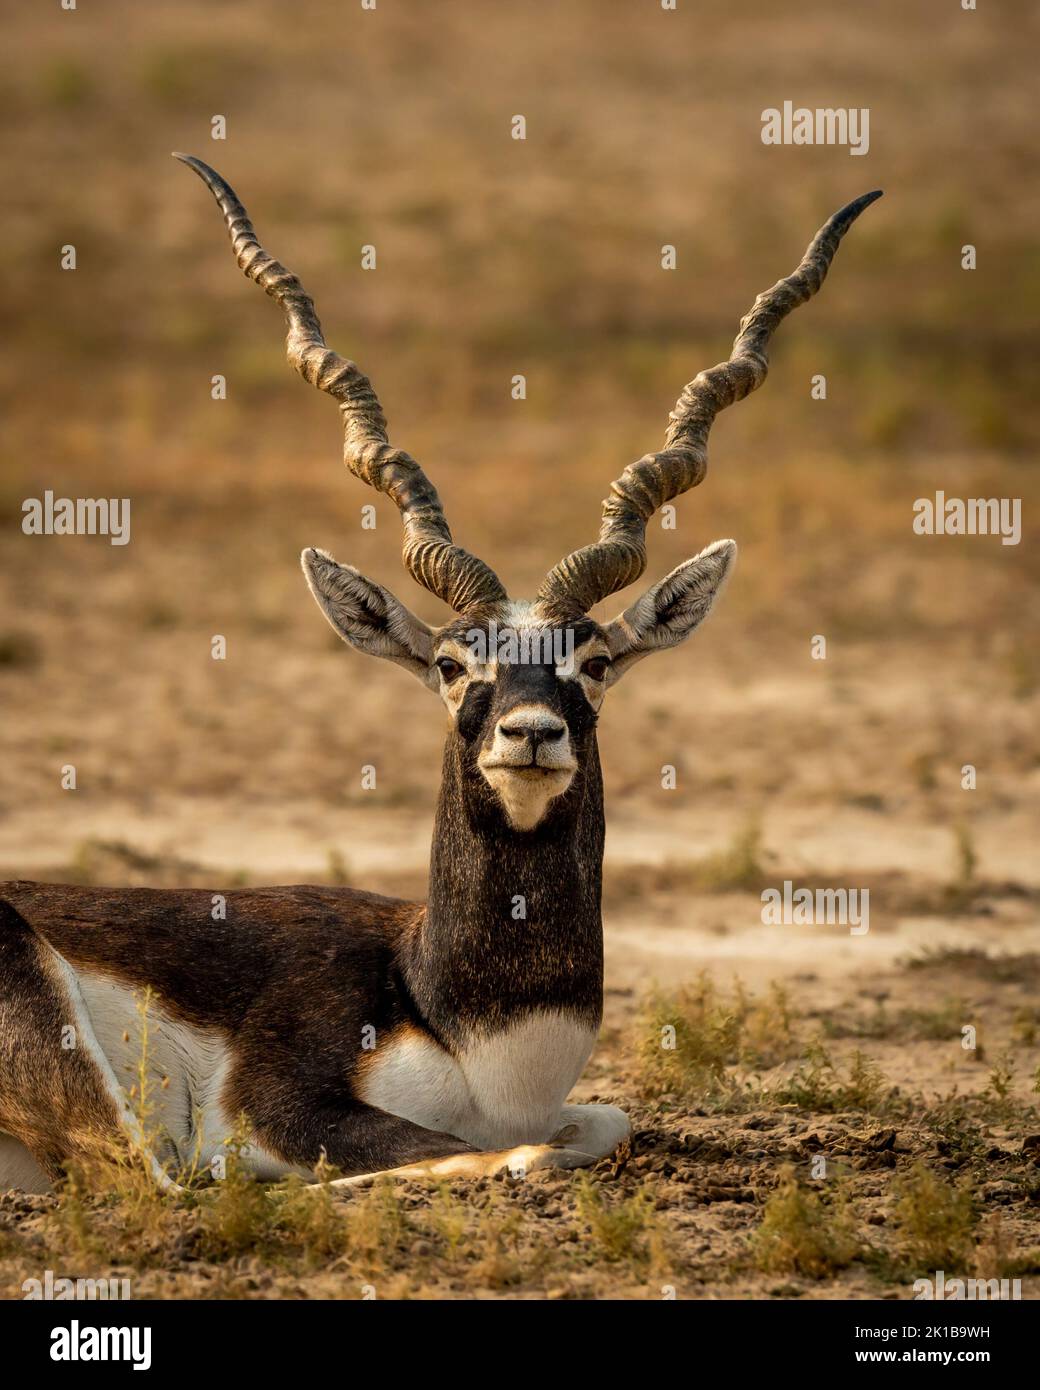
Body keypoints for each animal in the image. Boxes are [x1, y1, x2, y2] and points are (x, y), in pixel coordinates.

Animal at [0, 159, 880, 1194]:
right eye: (453, 664)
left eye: (596, 660)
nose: (530, 733)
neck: (458, 1014)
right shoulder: (272, 1109)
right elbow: (497, 1148)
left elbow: (601, 1119)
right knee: (165, 1180)